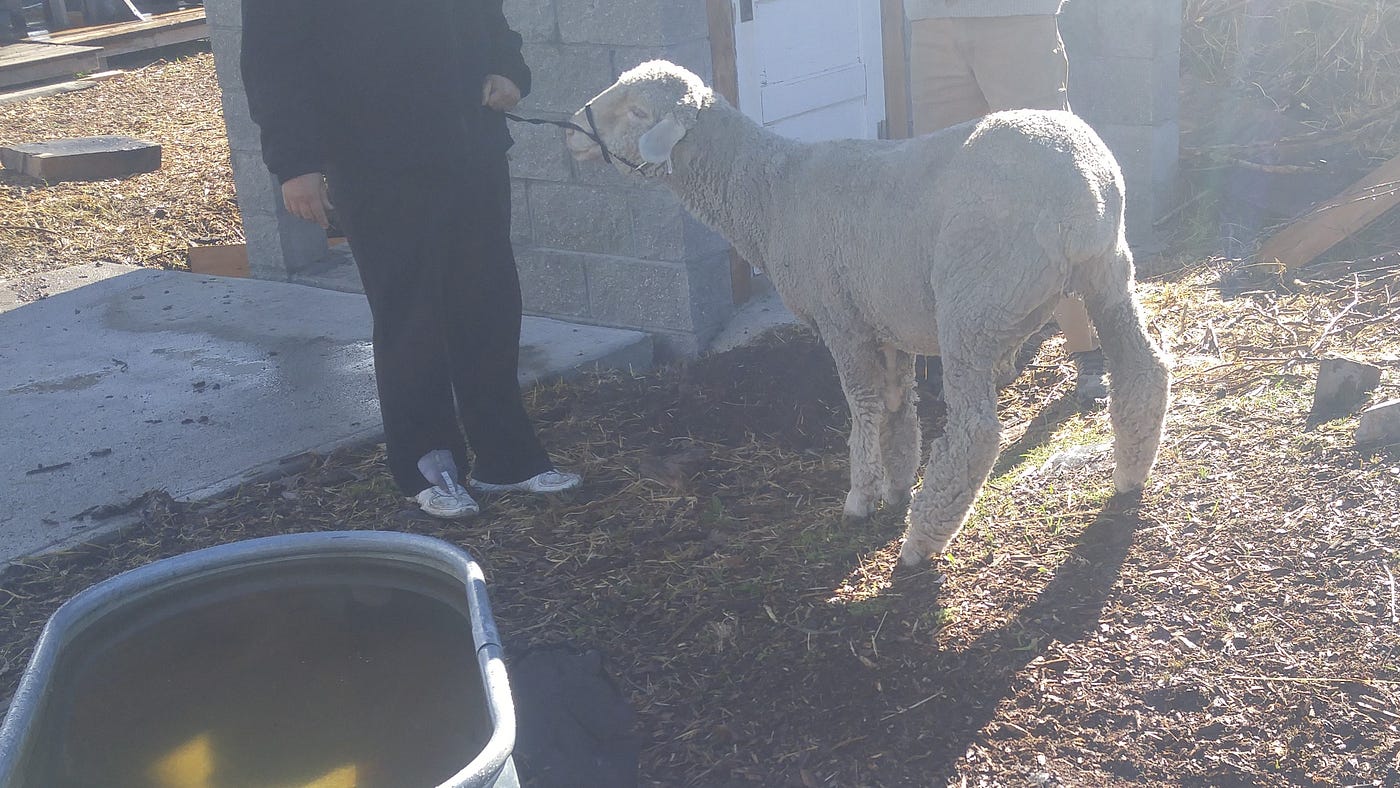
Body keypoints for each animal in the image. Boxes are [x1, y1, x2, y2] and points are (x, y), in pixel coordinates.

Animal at [565, 60, 1171, 566]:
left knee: (975, 432)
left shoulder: (841, 318)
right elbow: (898, 406)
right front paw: (897, 483)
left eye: (638, 111)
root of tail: (1084, 188)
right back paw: (1130, 474)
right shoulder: (885, 317)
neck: (770, 194)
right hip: (1108, 275)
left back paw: (923, 539)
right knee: (1144, 372)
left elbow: (863, 407)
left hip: (974, 301)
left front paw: (862, 495)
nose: (572, 128)